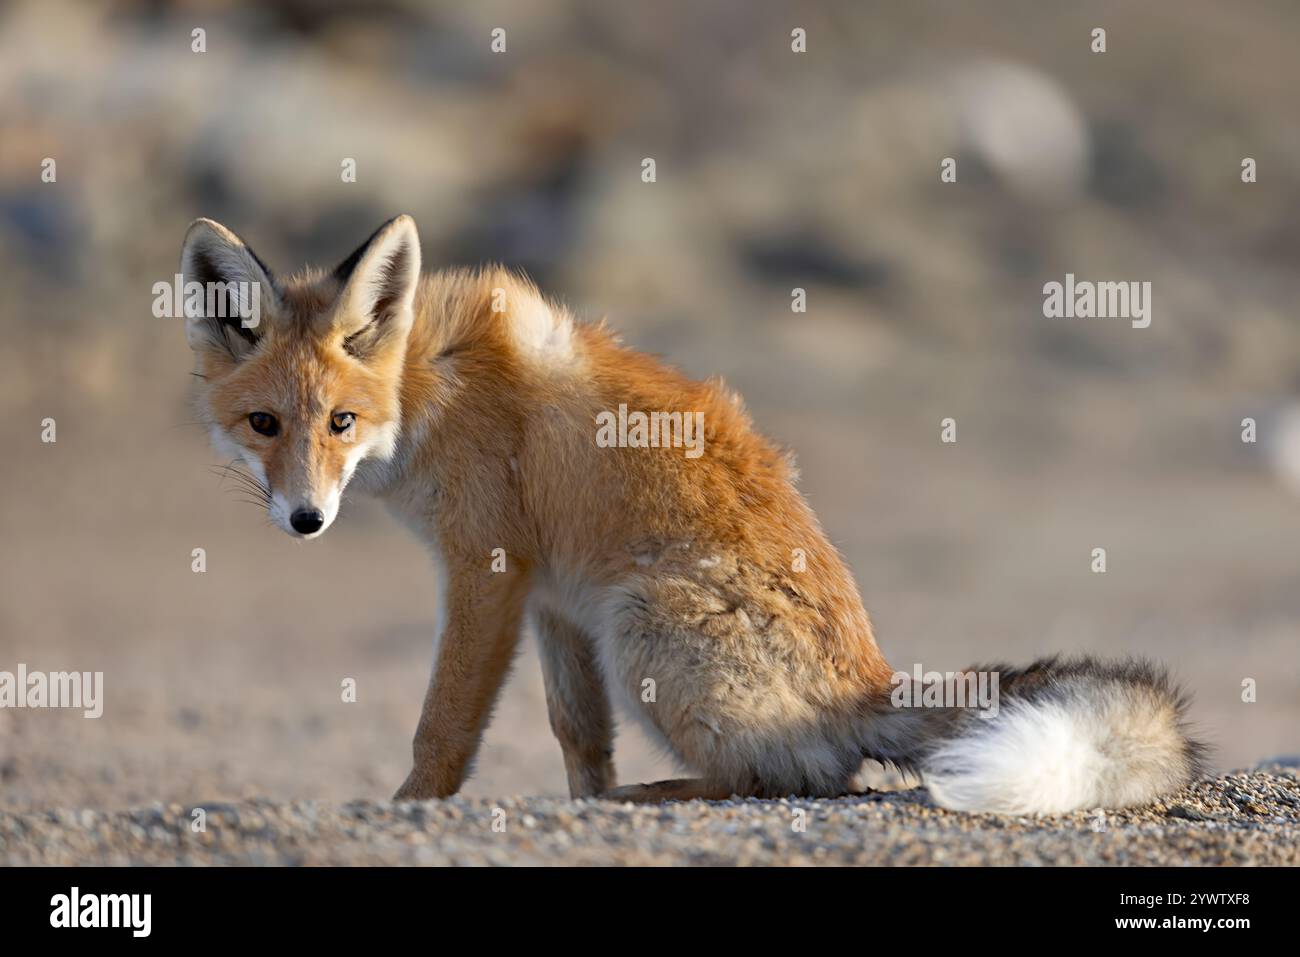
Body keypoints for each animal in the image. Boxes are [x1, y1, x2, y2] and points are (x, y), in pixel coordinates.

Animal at [179, 214, 1206, 814]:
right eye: (266, 425)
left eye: (341, 422)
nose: (306, 518)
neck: (433, 382)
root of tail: (868, 681)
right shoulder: (550, 597)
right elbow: (577, 732)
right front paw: (577, 803)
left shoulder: (485, 573)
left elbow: (445, 722)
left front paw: (410, 809)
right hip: (614, 619)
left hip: (642, 621)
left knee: (795, 778)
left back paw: (663, 792)